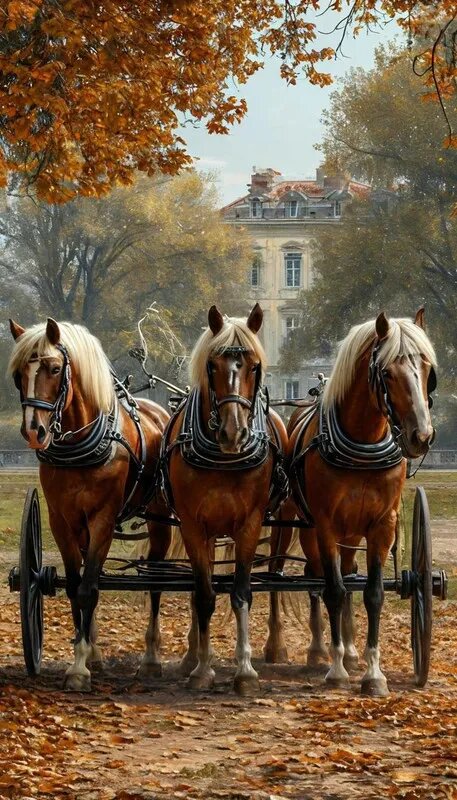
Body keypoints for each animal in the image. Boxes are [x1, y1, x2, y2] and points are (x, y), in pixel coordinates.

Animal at [8, 317, 171, 690]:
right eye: (18, 374)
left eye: (55, 369)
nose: (34, 432)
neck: (78, 445)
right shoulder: (62, 520)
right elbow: (75, 586)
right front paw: (84, 656)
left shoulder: (102, 519)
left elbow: (88, 589)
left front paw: (80, 668)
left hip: (159, 520)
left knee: (155, 579)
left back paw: (152, 659)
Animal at [162, 303, 288, 695]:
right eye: (212, 365)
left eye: (254, 366)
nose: (234, 433)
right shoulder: (192, 525)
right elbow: (204, 595)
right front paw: (202, 668)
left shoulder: (250, 524)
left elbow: (241, 592)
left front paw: (245, 670)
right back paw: (192, 655)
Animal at [267, 309, 437, 696]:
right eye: (387, 372)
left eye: (426, 368)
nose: (421, 435)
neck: (363, 446)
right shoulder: (326, 525)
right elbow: (333, 589)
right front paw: (336, 670)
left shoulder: (381, 525)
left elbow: (370, 592)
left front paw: (372, 673)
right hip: (293, 522)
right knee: (287, 573)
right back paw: (294, 647)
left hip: (350, 533)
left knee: (343, 574)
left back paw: (347, 649)